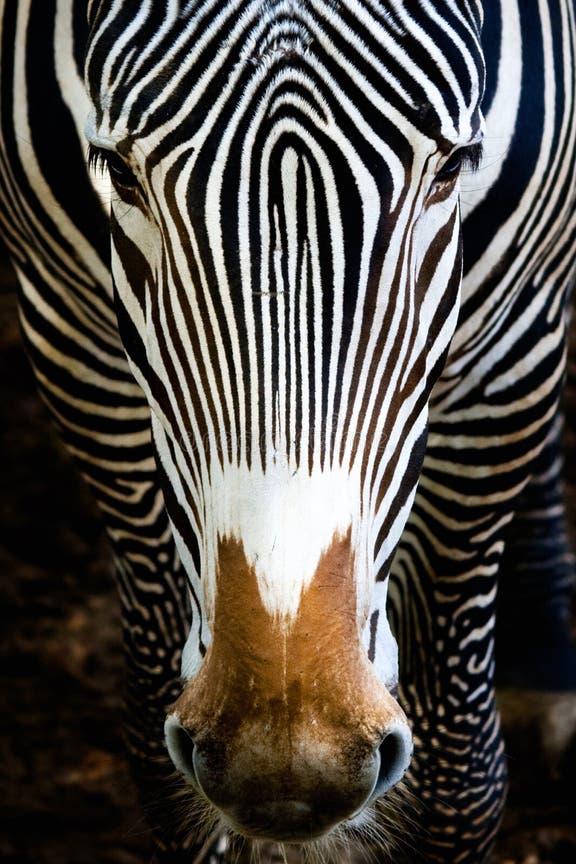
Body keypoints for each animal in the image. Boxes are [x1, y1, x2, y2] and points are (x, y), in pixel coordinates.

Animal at [1, 1, 575, 862]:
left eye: (452, 169)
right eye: (122, 176)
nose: (289, 764)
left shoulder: (517, 331)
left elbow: (460, 785)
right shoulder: (68, 324)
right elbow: (165, 782)